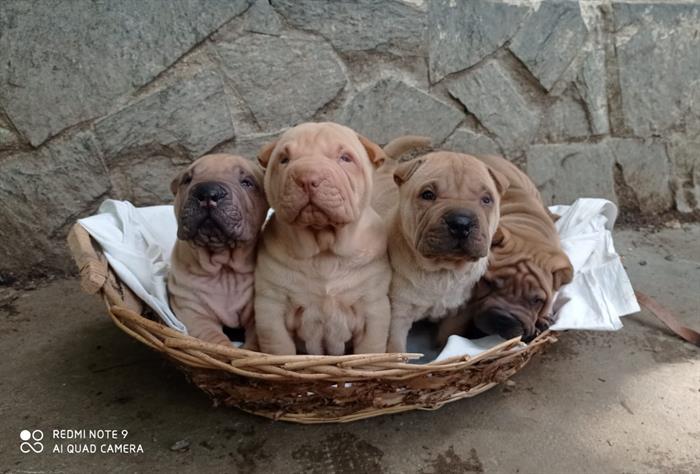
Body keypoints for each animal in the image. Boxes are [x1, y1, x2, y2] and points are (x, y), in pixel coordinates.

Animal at [167, 154, 268, 346]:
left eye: (247, 182)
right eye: (187, 179)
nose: (207, 192)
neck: (224, 267)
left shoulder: (257, 316)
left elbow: (255, 343)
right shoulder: (195, 314)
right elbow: (216, 341)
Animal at [253, 122, 394, 356]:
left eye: (345, 158)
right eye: (284, 159)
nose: (307, 178)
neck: (324, 248)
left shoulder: (374, 308)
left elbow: (369, 349)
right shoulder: (271, 306)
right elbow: (279, 348)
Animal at [382, 152, 508, 352]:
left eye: (486, 199)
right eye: (427, 195)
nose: (461, 223)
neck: (443, 270)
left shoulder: (458, 313)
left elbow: (447, 337)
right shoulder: (398, 312)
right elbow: (395, 348)